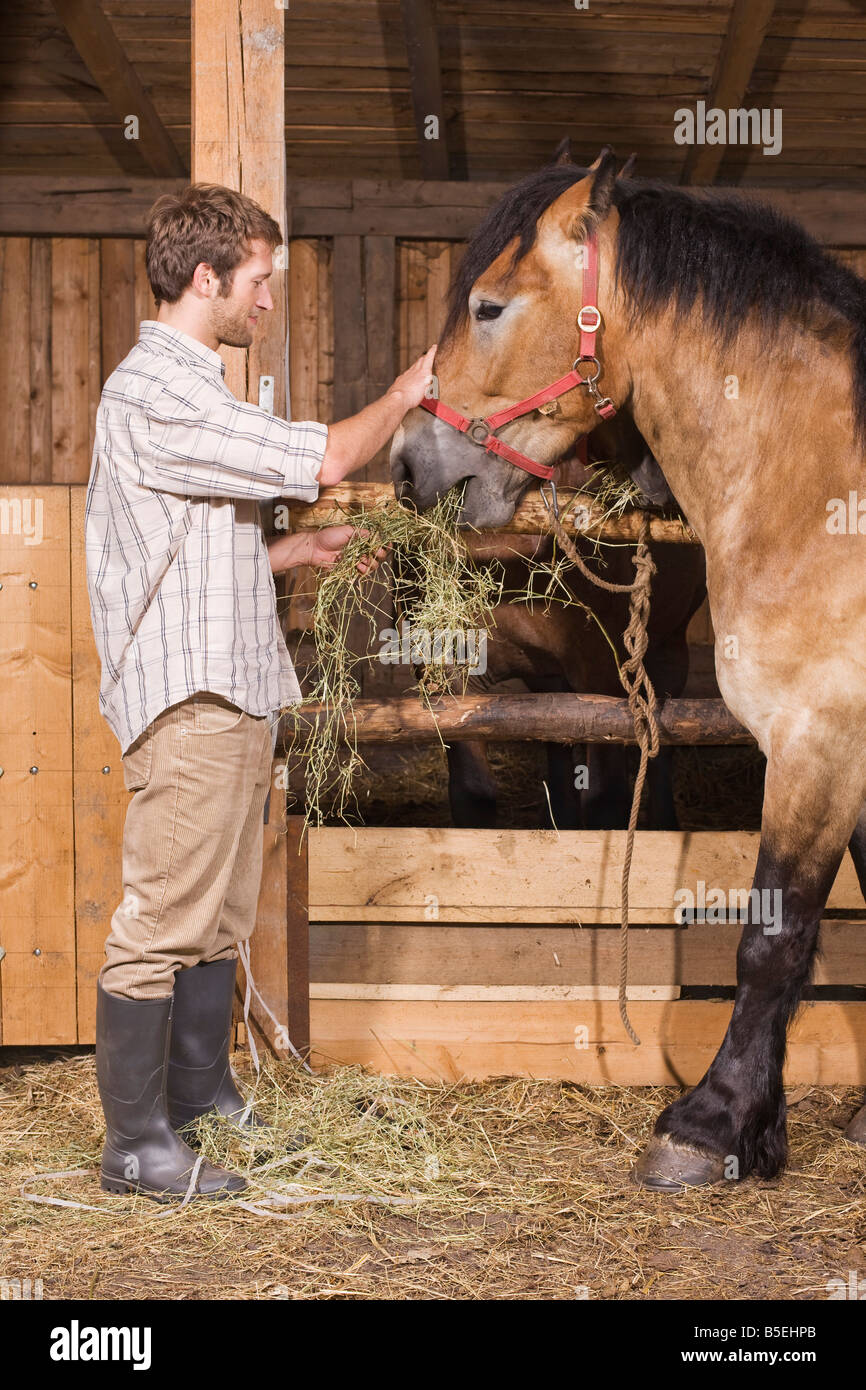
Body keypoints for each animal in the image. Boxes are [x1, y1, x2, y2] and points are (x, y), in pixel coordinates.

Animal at [390, 147, 866, 1189]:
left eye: (487, 306)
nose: (407, 466)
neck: (823, 489)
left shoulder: (821, 740)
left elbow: (773, 935)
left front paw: (713, 1124)